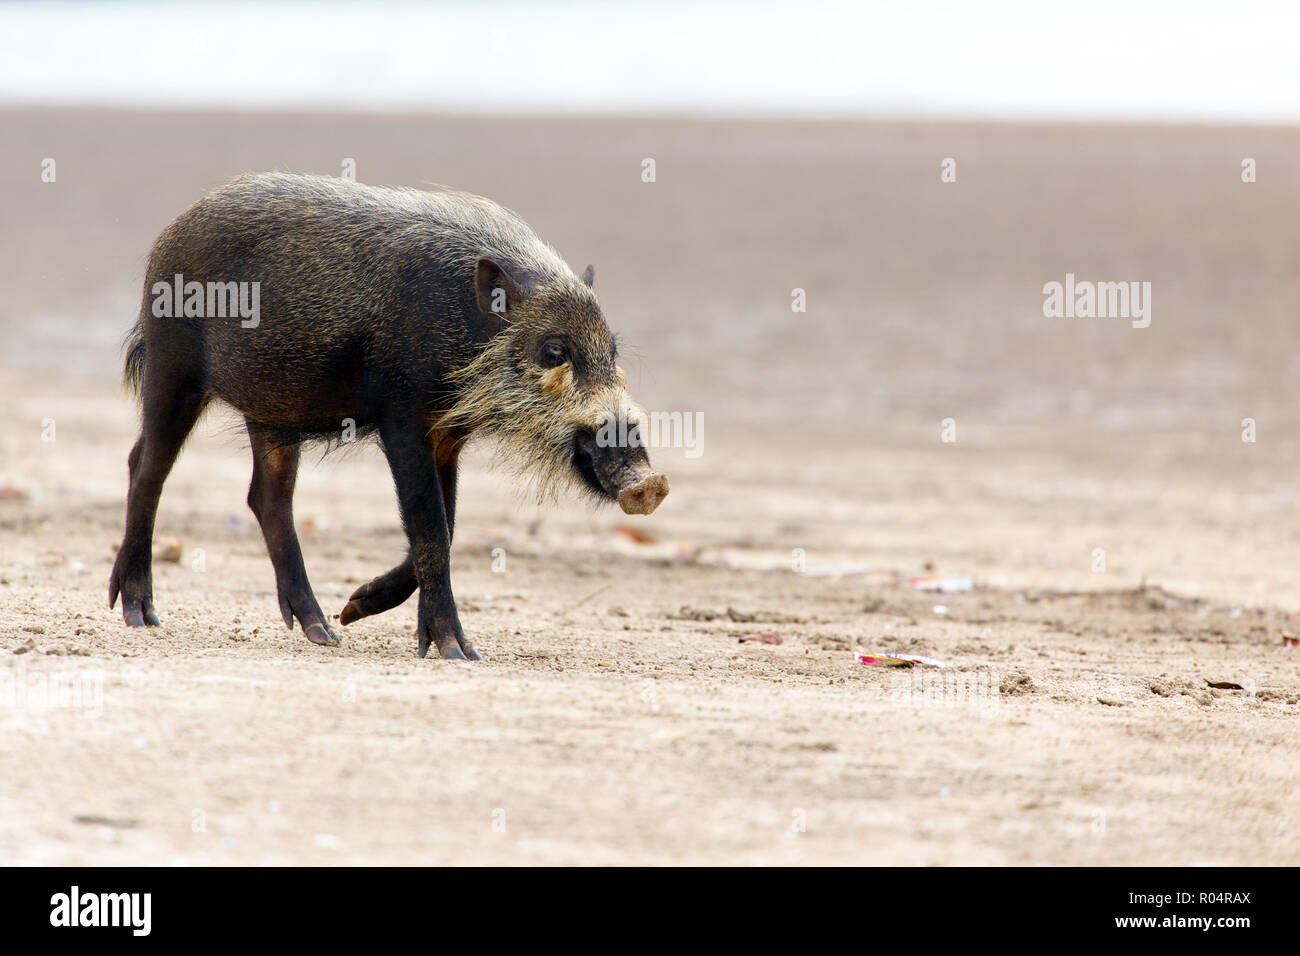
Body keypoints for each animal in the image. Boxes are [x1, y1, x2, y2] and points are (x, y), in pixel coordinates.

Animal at [110, 172, 668, 659]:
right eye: (554, 350)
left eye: (612, 352)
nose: (651, 482)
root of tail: (169, 234)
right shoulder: (401, 417)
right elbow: (430, 524)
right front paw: (457, 652)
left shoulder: (449, 434)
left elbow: (448, 526)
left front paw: (358, 610)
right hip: (173, 369)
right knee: (146, 466)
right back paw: (141, 615)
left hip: (269, 409)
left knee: (267, 498)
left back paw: (323, 631)